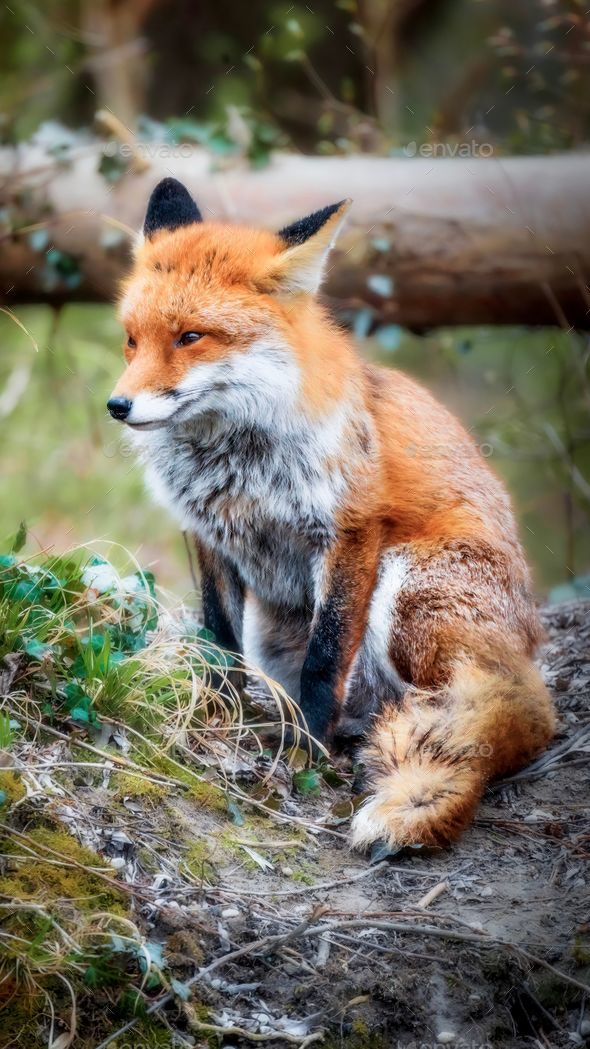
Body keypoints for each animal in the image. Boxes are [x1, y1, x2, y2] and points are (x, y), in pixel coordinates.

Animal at [107, 176, 555, 851]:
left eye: (190, 338)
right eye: (132, 340)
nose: (118, 405)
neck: (236, 464)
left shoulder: (348, 532)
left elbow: (325, 659)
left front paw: (306, 754)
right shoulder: (209, 536)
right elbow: (218, 643)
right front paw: (216, 720)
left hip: (408, 594)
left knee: (508, 710)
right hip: (278, 633)